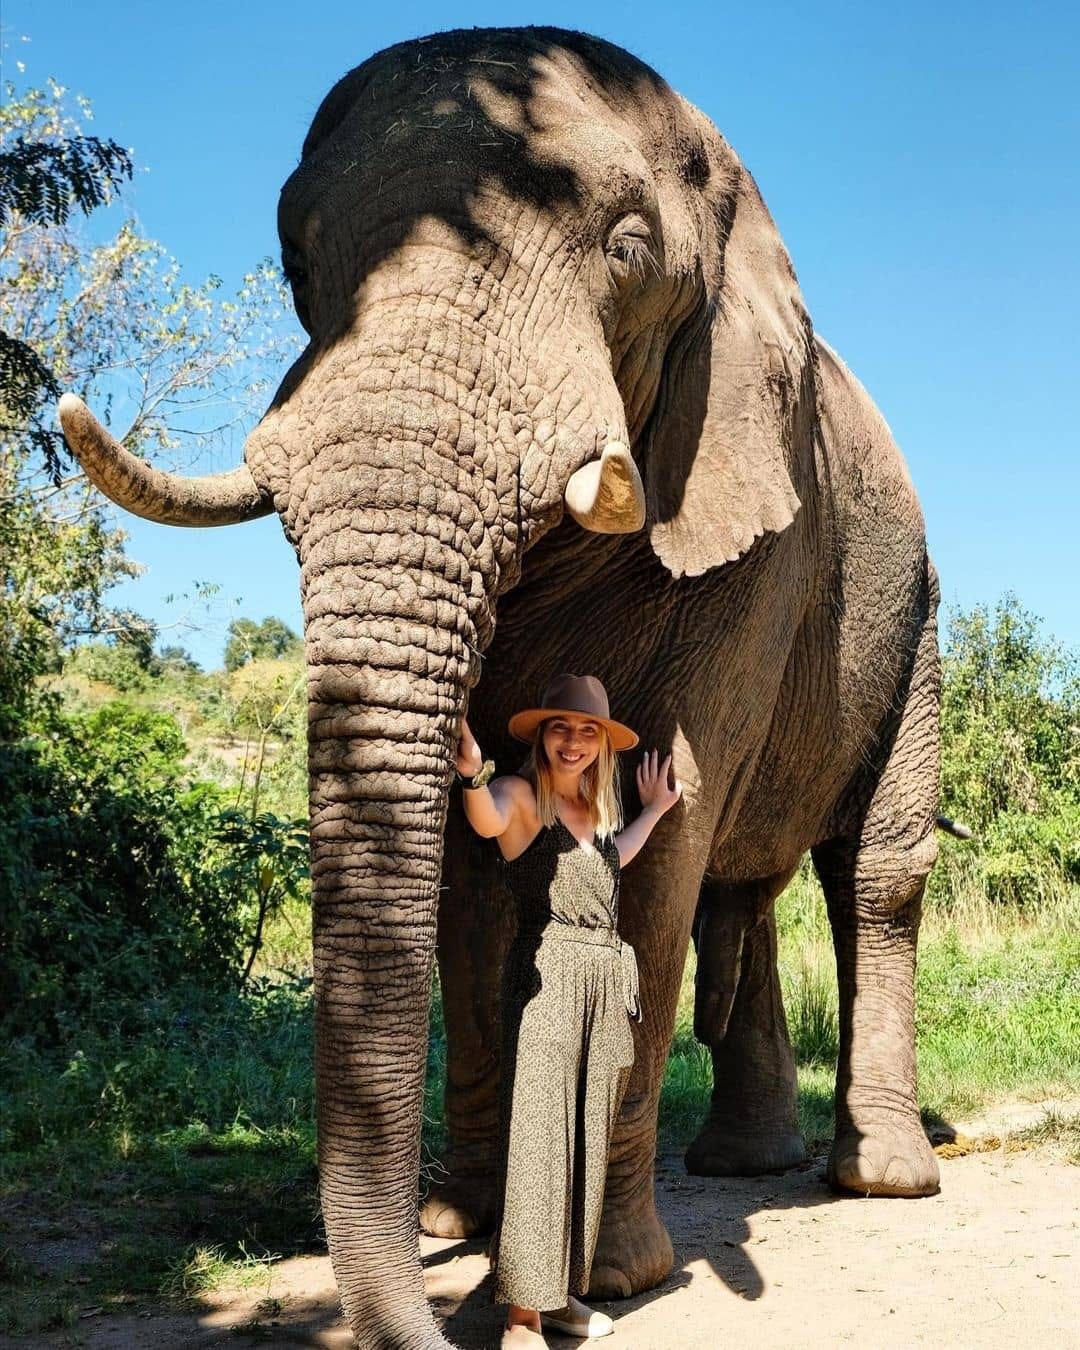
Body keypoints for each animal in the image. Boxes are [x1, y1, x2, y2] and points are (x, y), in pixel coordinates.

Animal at [59, 26, 945, 1349]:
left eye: (628, 252)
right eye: (294, 262)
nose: (449, 1311)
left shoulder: (753, 520)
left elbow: (658, 861)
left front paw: (616, 1278)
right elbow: (476, 881)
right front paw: (459, 1227)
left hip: (917, 616)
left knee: (871, 878)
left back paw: (881, 1179)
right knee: (744, 891)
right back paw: (744, 1168)